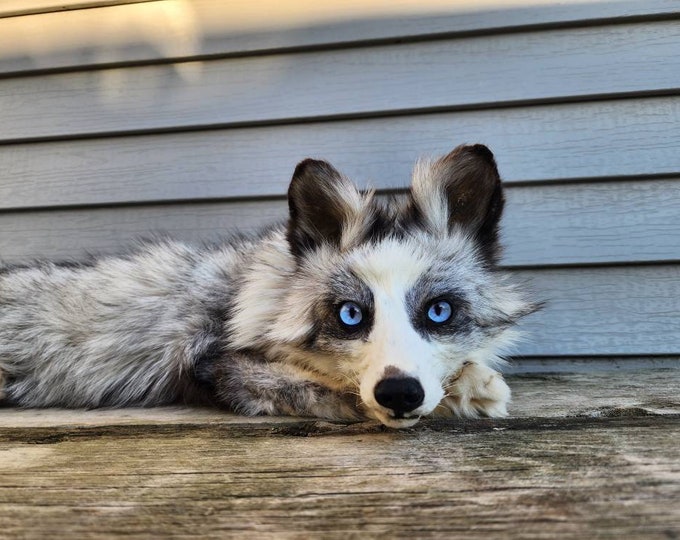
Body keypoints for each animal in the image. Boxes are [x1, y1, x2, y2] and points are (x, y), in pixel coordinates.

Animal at [0, 144, 536, 428]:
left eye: (439, 311)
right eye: (350, 315)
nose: (399, 393)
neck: (264, 286)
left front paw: (470, 382)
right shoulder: (217, 365)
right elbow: (327, 389)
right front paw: (461, 394)